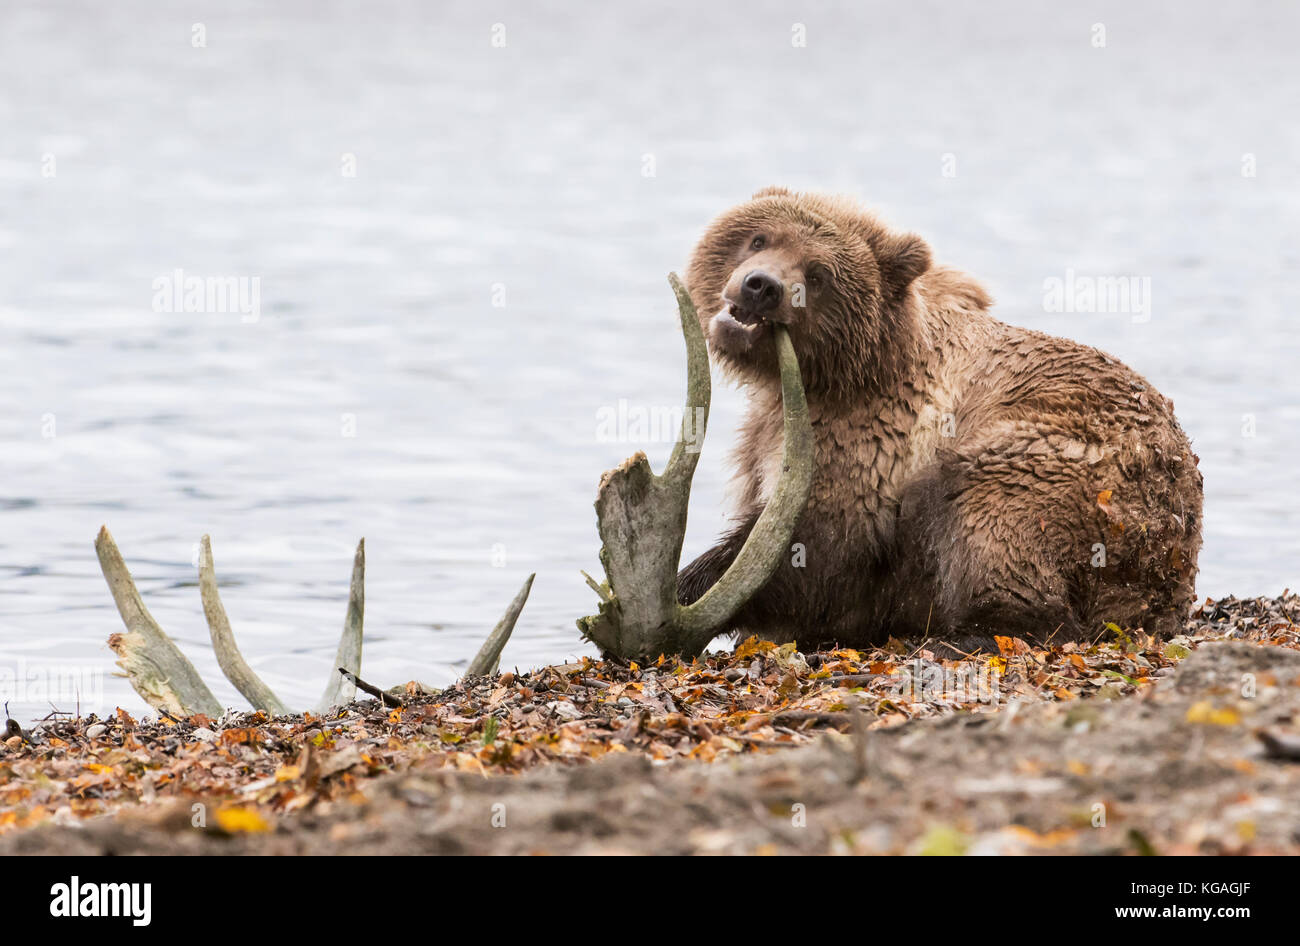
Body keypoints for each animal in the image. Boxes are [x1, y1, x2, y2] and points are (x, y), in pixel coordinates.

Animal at [677, 187, 1202, 654]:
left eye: (819, 273)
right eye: (759, 238)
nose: (762, 286)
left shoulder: (863, 440)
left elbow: (815, 546)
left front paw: (694, 586)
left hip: (1076, 469)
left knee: (993, 520)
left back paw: (955, 635)